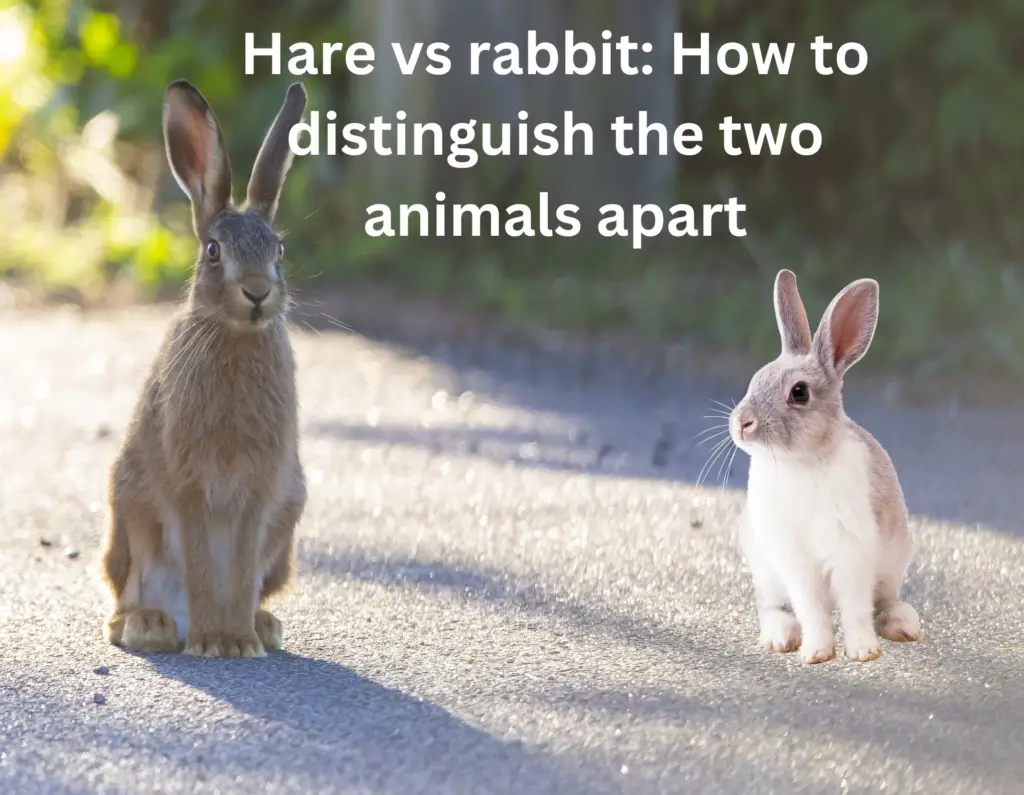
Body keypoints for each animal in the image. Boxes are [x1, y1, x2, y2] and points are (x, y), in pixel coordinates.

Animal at [99, 79, 309, 657]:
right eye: (213, 251)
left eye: (280, 249)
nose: (257, 293)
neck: (235, 335)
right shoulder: (185, 479)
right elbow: (196, 556)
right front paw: (214, 642)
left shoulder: (263, 486)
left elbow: (240, 564)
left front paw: (235, 641)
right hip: (130, 513)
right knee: (126, 602)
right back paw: (153, 627)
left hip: (288, 527)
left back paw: (261, 626)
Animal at [729, 269, 922, 664]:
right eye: (755, 380)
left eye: (799, 392)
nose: (742, 423)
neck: (800, 462)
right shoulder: (795, 560)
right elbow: (811, 608)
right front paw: (816, 653)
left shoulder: (852, 551)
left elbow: (855, 607)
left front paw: (863, 652)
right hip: (765, 569)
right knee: (771, 606)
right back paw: (780, 637)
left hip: (893, 562)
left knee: (883, 602)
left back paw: (904, 625)